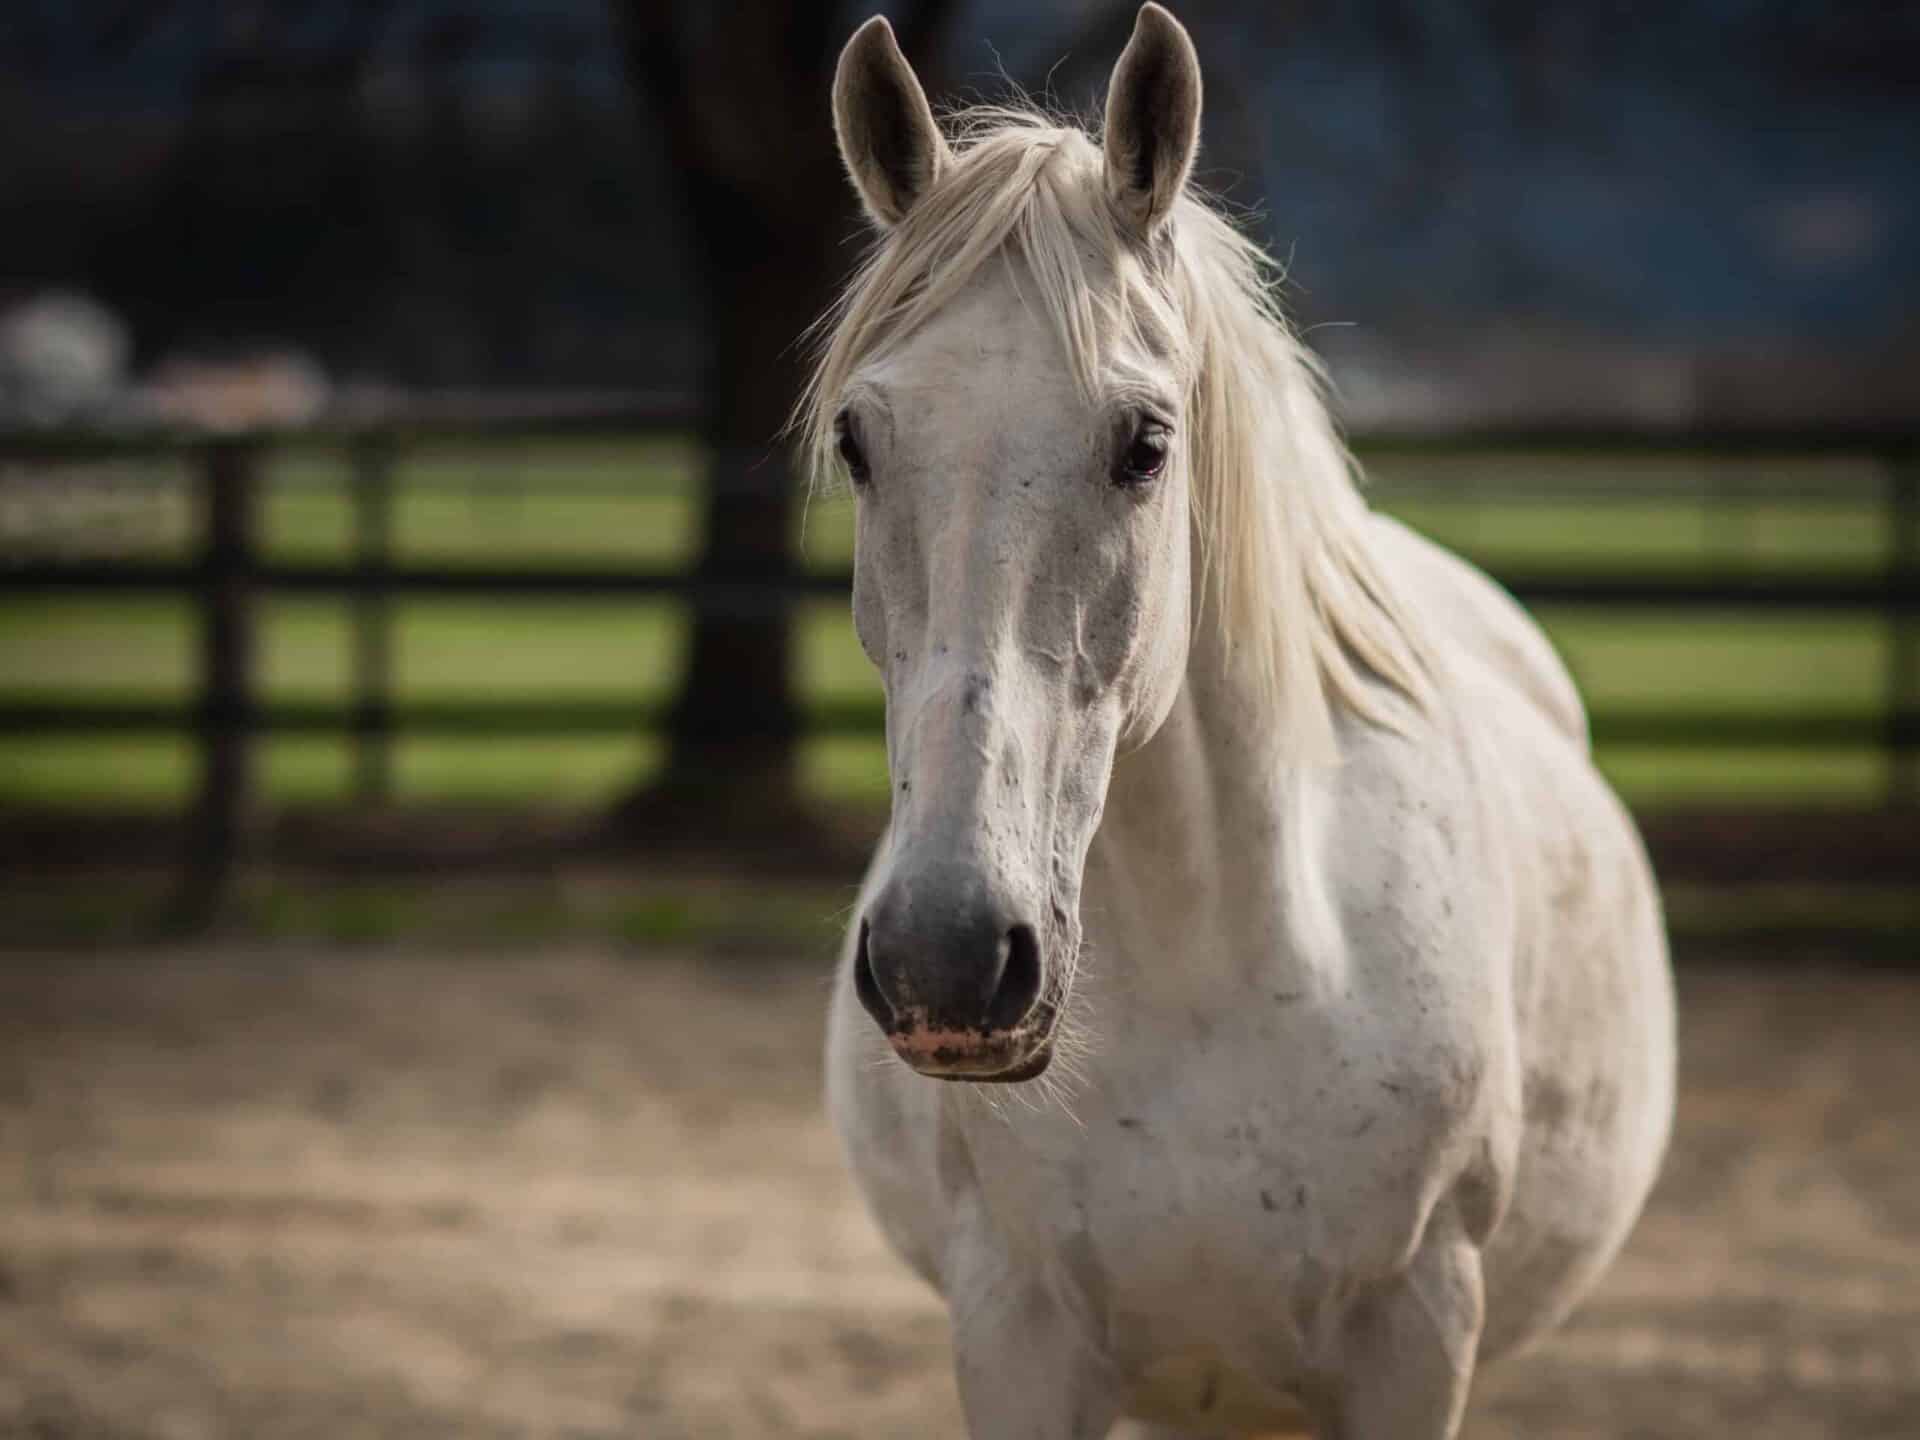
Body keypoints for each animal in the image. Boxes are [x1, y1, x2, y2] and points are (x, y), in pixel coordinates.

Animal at [811, 7, 1676, 1436]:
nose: (950, 959)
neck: (1224, 968)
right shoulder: (1015, 1333)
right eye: (857, 442)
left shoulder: (1418, 1332)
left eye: (1146, 443)